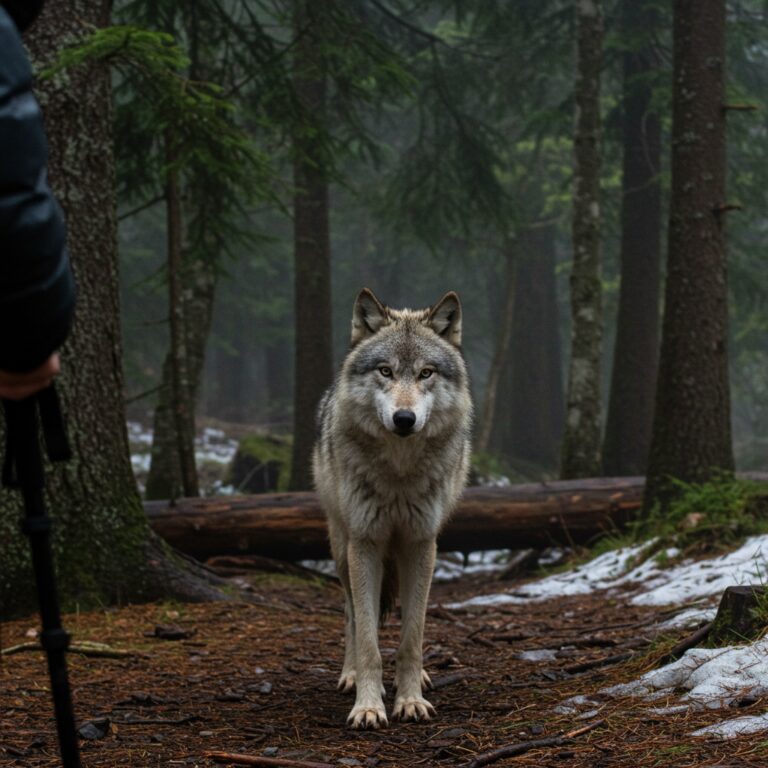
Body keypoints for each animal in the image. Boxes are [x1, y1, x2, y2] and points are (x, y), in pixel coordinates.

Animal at [313, 288, 473, 730]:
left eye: (426, 373)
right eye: (385, 371)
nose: (404, 418)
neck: (400, 474)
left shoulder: (421, 544)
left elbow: (412, 636)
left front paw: (410, 699)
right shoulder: (365, 544)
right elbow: (369, 640)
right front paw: (368, 706)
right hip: (342, 548)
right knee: (351, 615)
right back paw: (350, 675)